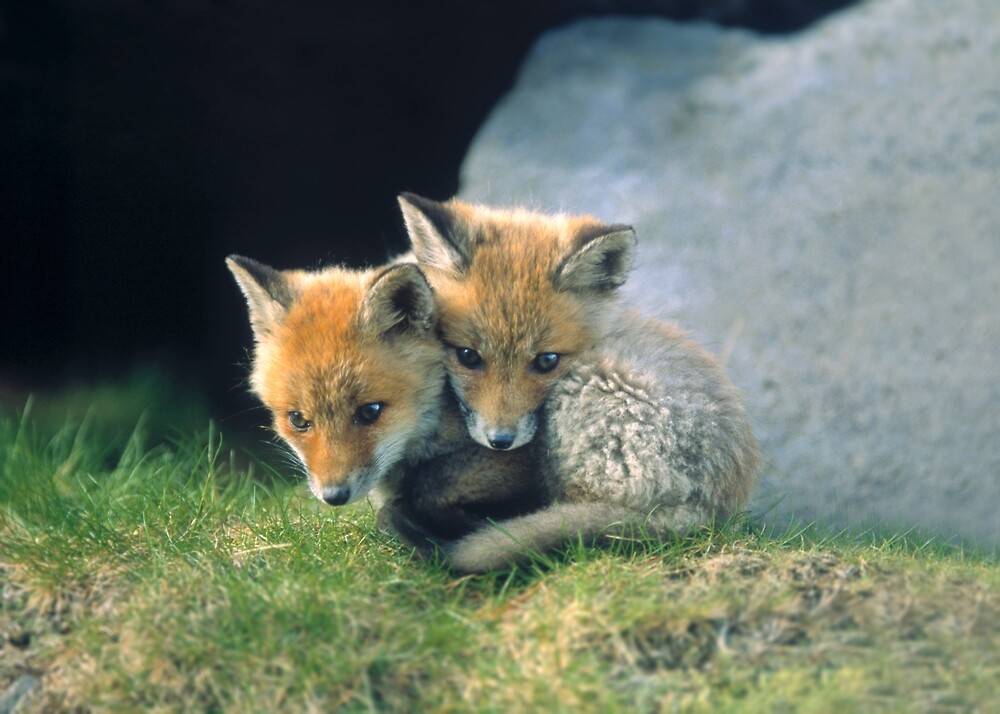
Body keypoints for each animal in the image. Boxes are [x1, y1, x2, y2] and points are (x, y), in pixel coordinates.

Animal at [398, 193, 760, 571]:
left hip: (578, 402)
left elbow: (428, 485)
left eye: (546, 361)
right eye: (468, 356)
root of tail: (711, 508)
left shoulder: (522, 455)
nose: (501, 440)